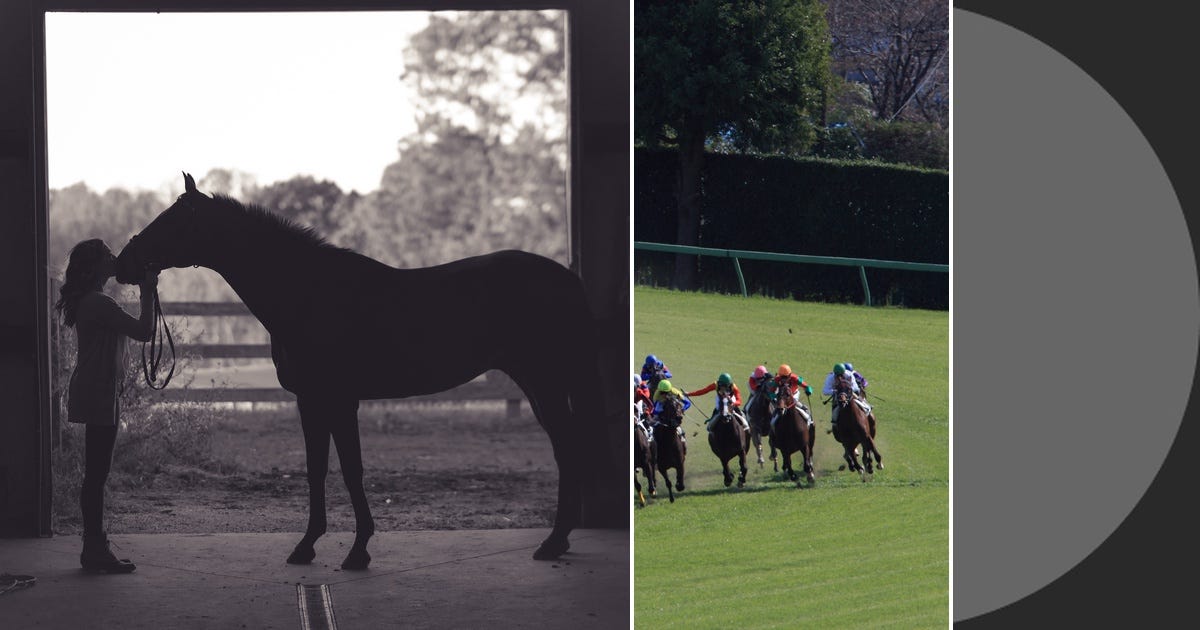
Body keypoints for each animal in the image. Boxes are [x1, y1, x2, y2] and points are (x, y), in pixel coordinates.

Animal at [115, 173, 605, 569]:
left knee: (568, 448)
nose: (122, 263)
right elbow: (316, 469)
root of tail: (567, 278)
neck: (308, 293)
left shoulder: (339, 399)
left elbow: (351, 468)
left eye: (171, 221)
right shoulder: (309, 400)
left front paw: (358, 550)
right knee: (567, 448)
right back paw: (558, 542)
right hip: (538, 384)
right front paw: (307, 546)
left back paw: (553, 542)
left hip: (544, 381)